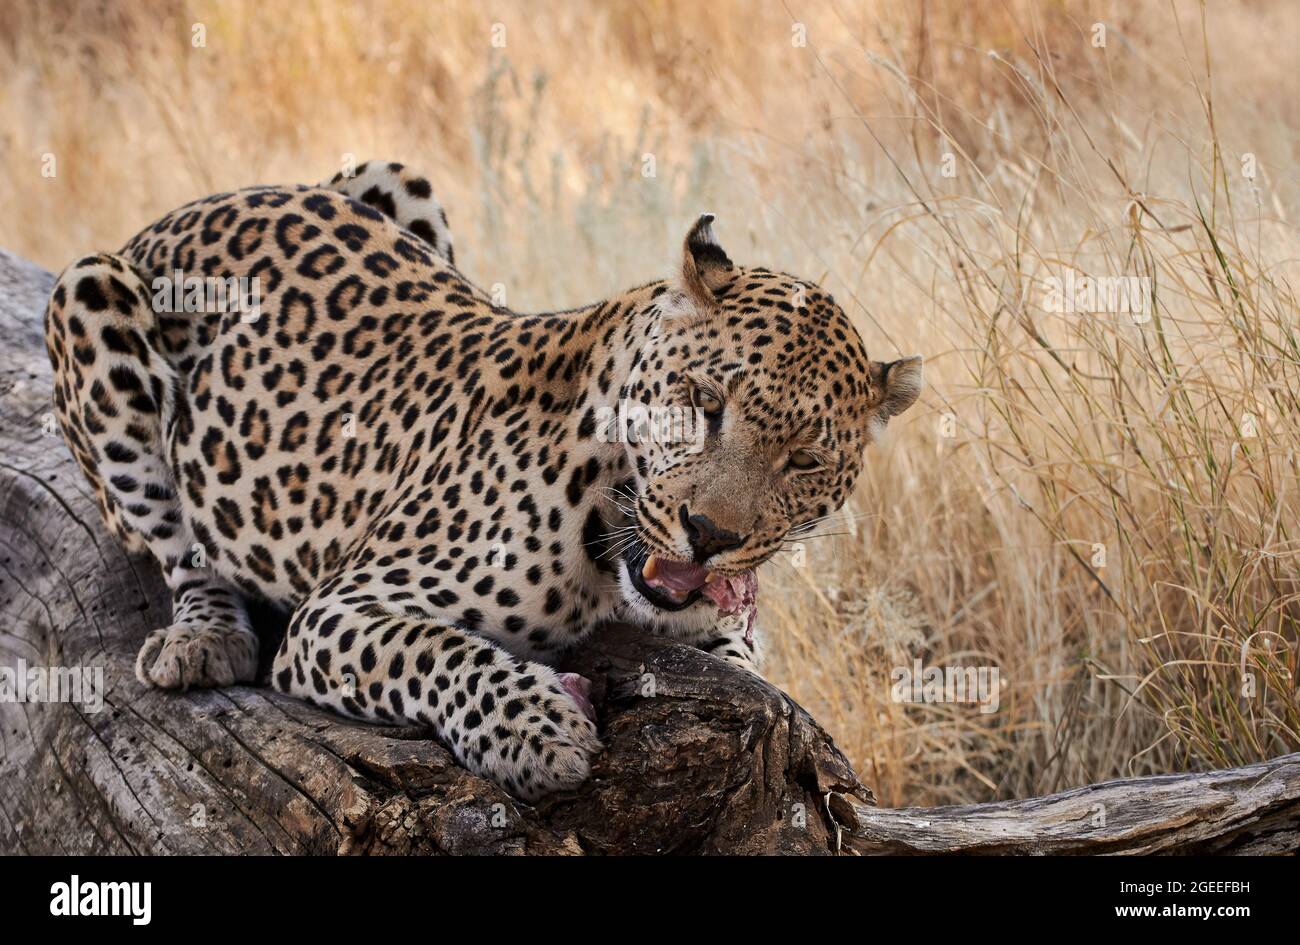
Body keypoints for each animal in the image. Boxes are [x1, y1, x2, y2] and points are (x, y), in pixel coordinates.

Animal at [43, 160, 923, 801]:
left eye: (804, 460)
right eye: (704, 402)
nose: (710, 536)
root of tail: (190, 207)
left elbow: (741, 658)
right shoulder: (339, 608)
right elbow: (433, 649)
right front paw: (538, 730)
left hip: (399, 178)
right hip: (88, 290)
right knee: (176, 545)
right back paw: (204, 636)